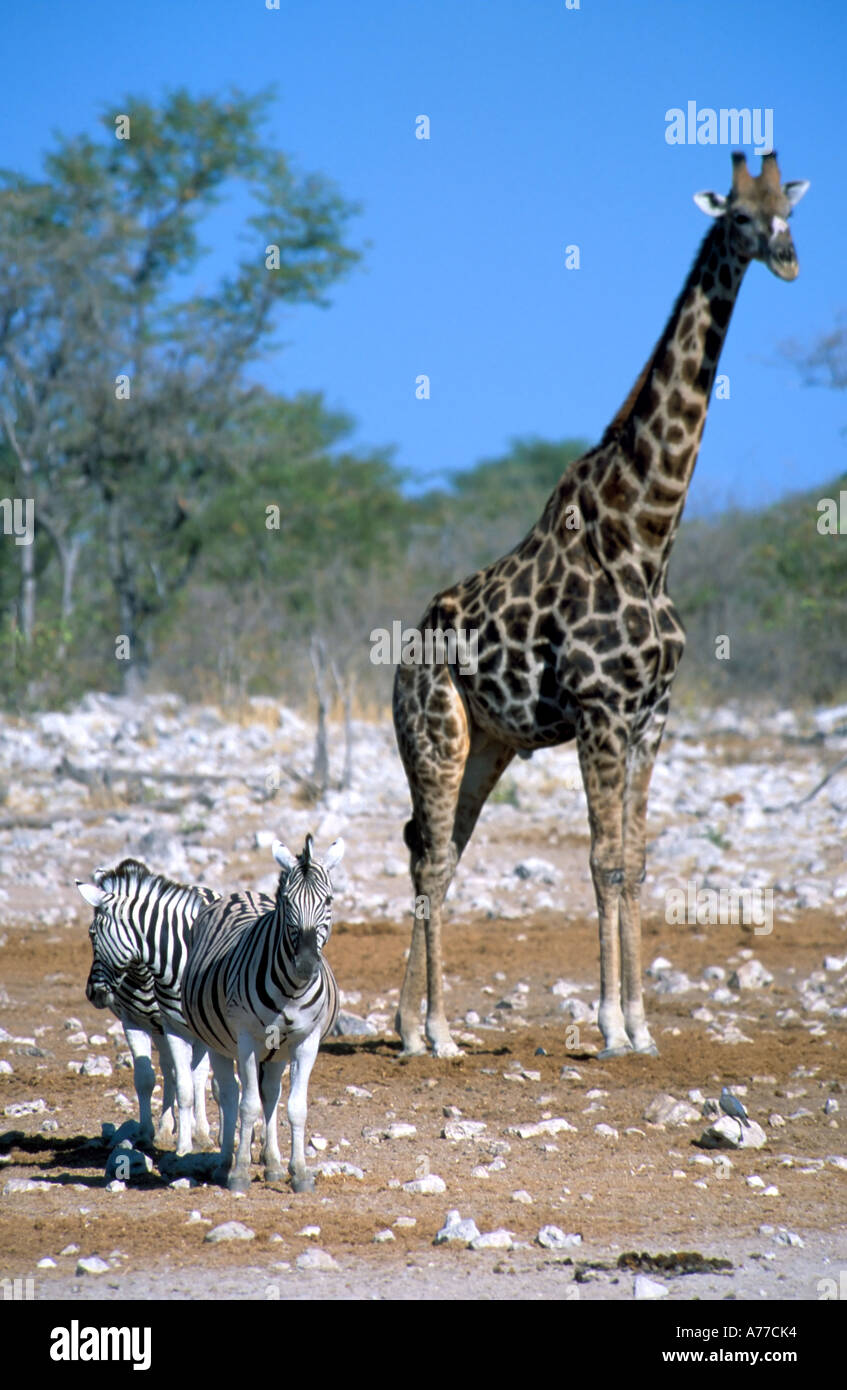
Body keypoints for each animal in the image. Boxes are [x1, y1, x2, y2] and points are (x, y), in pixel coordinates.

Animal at [76, 859, 220, 1156]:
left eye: (92, 934)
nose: (92, 994)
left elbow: (192, 1077)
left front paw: (193, 1135)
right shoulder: (135, 1023)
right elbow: (146, 1078)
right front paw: (146, 1133)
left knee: (197, 1074)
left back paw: (200, 1131)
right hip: (159, 1029)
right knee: (171, 1069)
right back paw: (168, 1128)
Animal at [181, 834, 343, 1193]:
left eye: (328, 901)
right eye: (287, 903)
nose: (306, 964)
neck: (292, 990)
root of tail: (243, 893)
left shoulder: (306, 1042)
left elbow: (295, 1107)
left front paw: (300, 1173)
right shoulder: (247, 1040)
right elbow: (247, 1105)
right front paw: (240, 1173)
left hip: (277, 1051)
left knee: (271, 1093)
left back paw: (273, 1165)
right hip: (217, 1043)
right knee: (229, 1095)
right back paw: (225, 1164)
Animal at [392, 151, 809, 1059]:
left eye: (788, 208)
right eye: (738, 215)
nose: (789, 258)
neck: (646, 538)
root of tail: (400, 656)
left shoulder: (651, 717)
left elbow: (638, 861)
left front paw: (643, 1027)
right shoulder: (597, 710)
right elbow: (602, 861)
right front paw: (612, 1026)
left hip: (489, 746)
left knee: (433, 853)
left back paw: (410, 1025)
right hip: (433, 735)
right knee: (432, 856)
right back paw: (434, 1034)